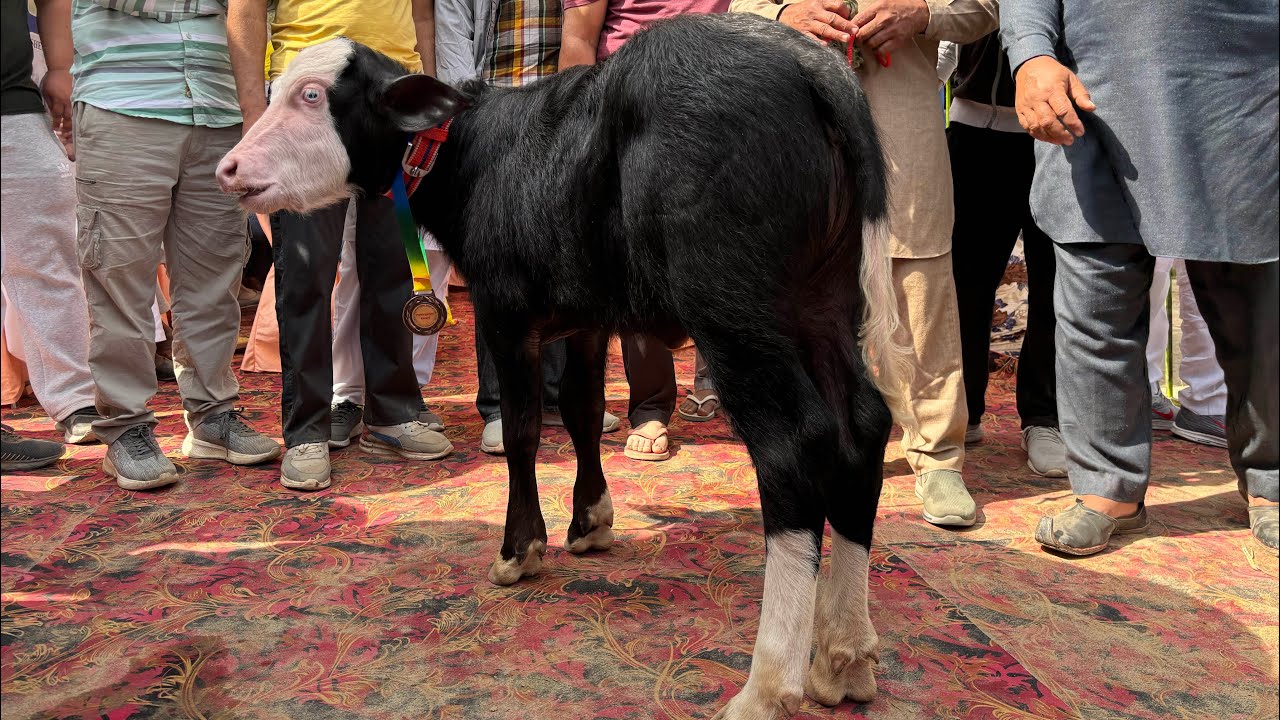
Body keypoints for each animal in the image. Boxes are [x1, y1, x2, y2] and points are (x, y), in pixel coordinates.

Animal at [216, 13, 905, 718]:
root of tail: (812, 67)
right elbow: (581, 411)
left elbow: (523, 430)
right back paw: (845, 656)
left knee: (793, 445)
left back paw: (768, 684)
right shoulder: (588, 316)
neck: (471, 153)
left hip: (735, 304)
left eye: (312, 97)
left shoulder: (506, 314)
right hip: (824, 299)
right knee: (862, 426)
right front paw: (591, 520)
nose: (229, 167)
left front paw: (520, 548)